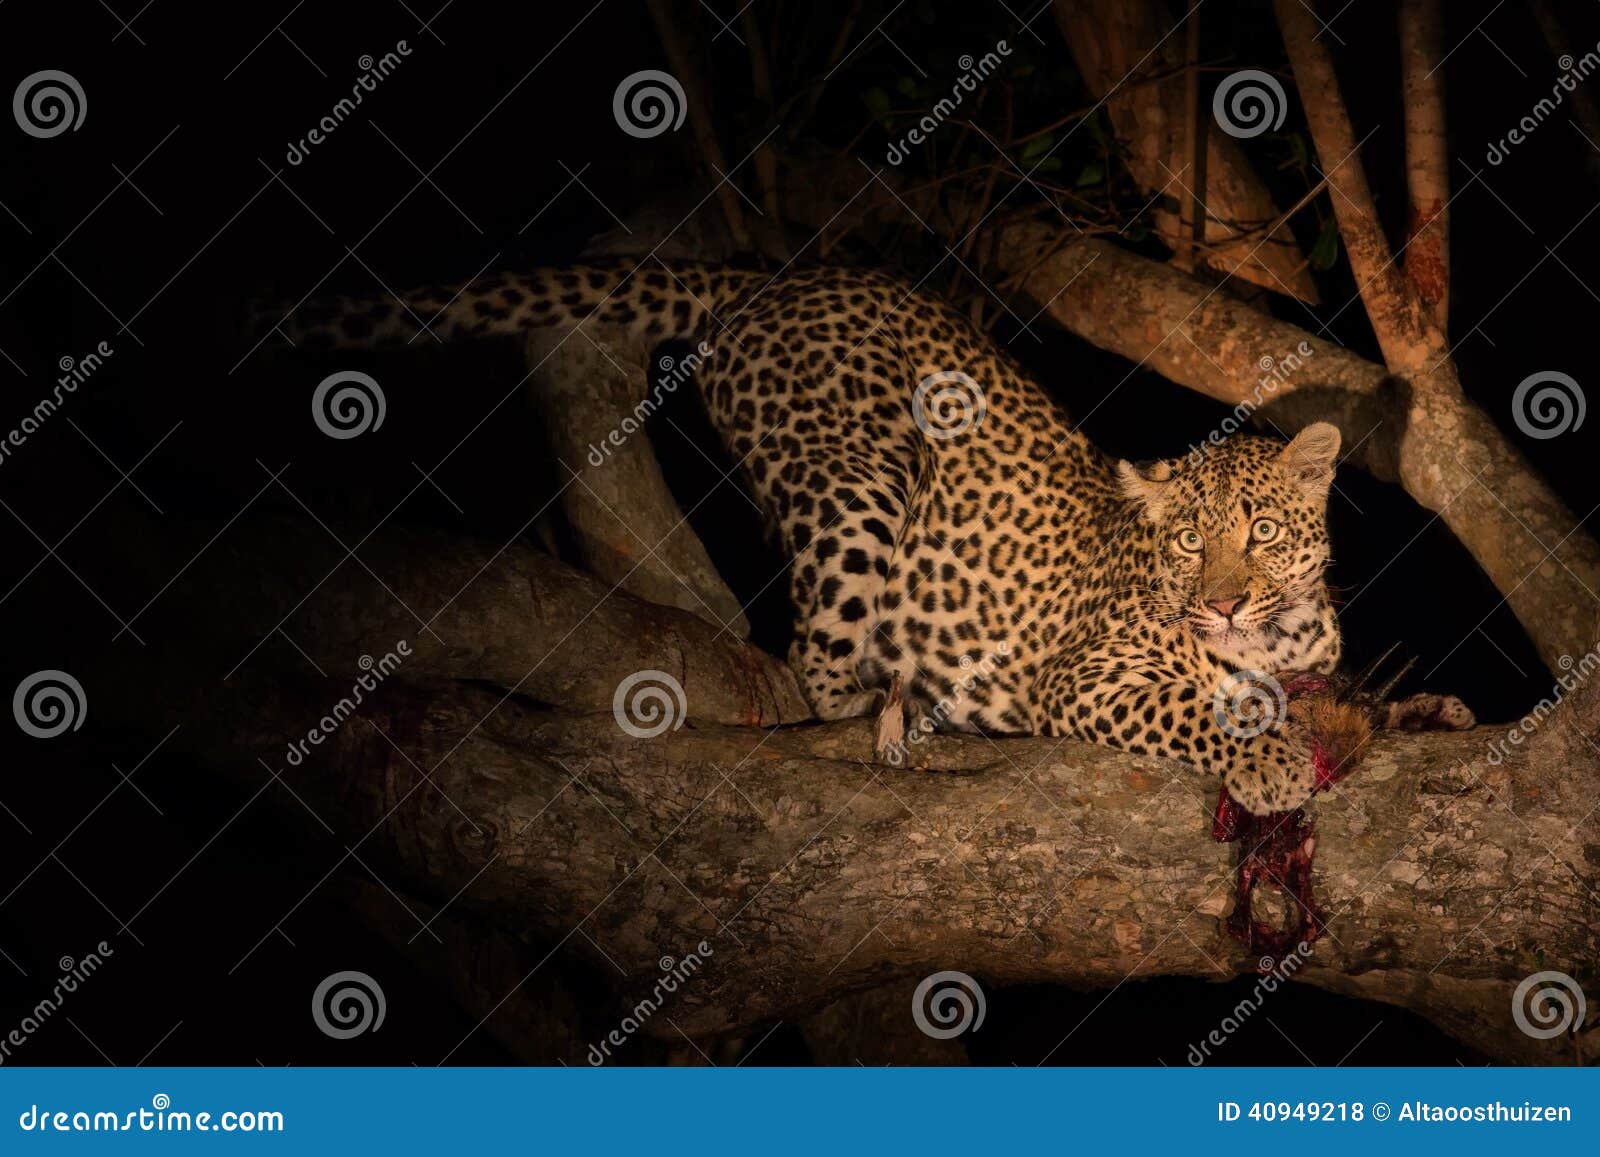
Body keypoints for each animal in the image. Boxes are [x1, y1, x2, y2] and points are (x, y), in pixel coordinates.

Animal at [256, 259, 1464, 816]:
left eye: (1257, 532)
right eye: (1185, 546)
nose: (1217, 599)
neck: (1276, 633)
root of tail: (775, 276)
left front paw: (1427, 710)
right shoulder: (1084, 677)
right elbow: (1200, 706)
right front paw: (1266, 756)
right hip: (857, 495)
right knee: (814, 676)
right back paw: (899, 699)